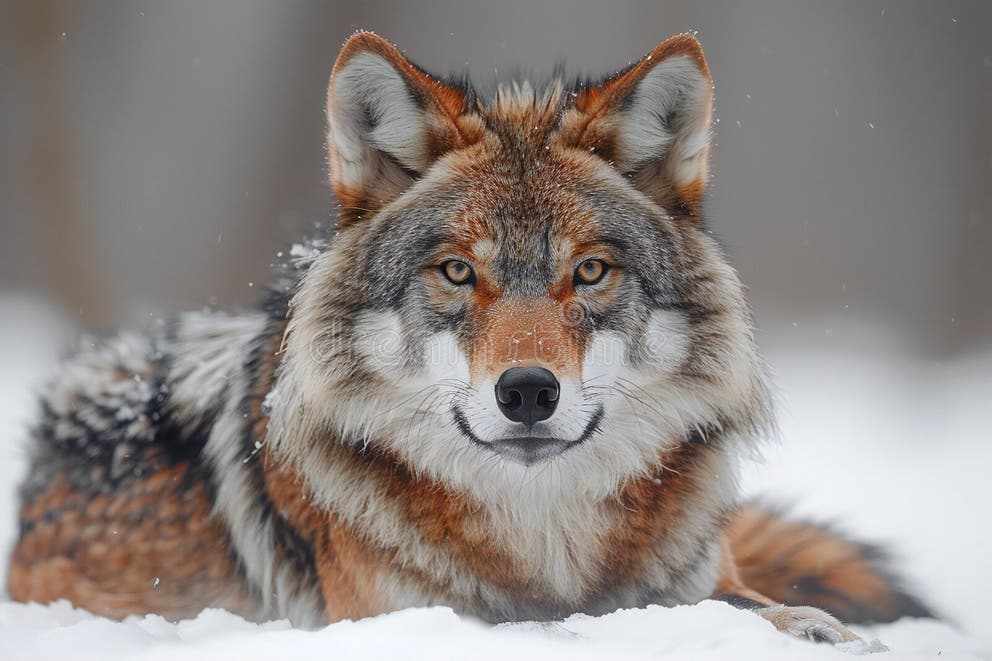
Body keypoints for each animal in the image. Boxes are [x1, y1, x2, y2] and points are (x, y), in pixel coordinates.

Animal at [8, 32, 932, 645]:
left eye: (589, 272)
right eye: (456, 272)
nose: (527, 391)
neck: (544, 550)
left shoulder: (699, 582)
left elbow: (767, 609)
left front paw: (820, 629)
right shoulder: (398, 614)